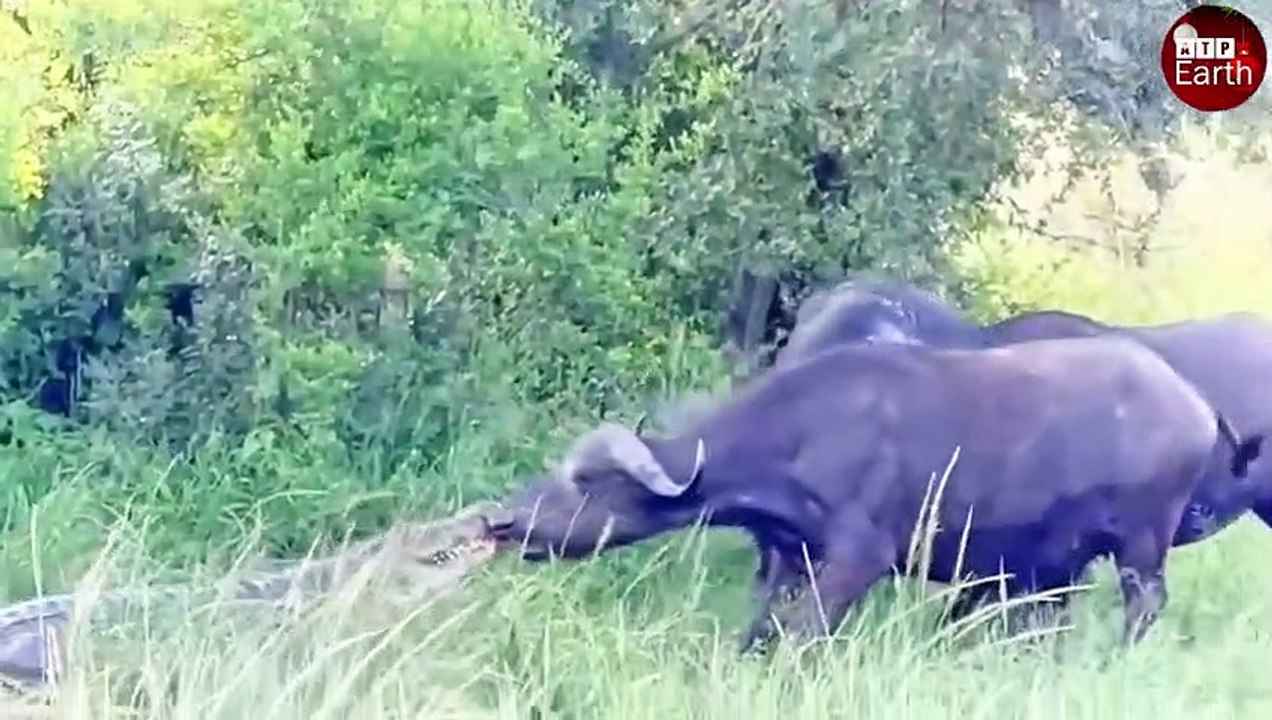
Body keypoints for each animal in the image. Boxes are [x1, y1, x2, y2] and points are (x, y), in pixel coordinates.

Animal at [491, 336, 1263, 649]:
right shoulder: (788, 557)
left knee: (1145, 604)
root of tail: (1196, 401)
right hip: (1061, 561)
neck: (806, 433)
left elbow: (803, 636)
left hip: (1142, 543)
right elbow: (761, 629)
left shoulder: (858, 561)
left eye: (586, 482)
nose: (502, 522)